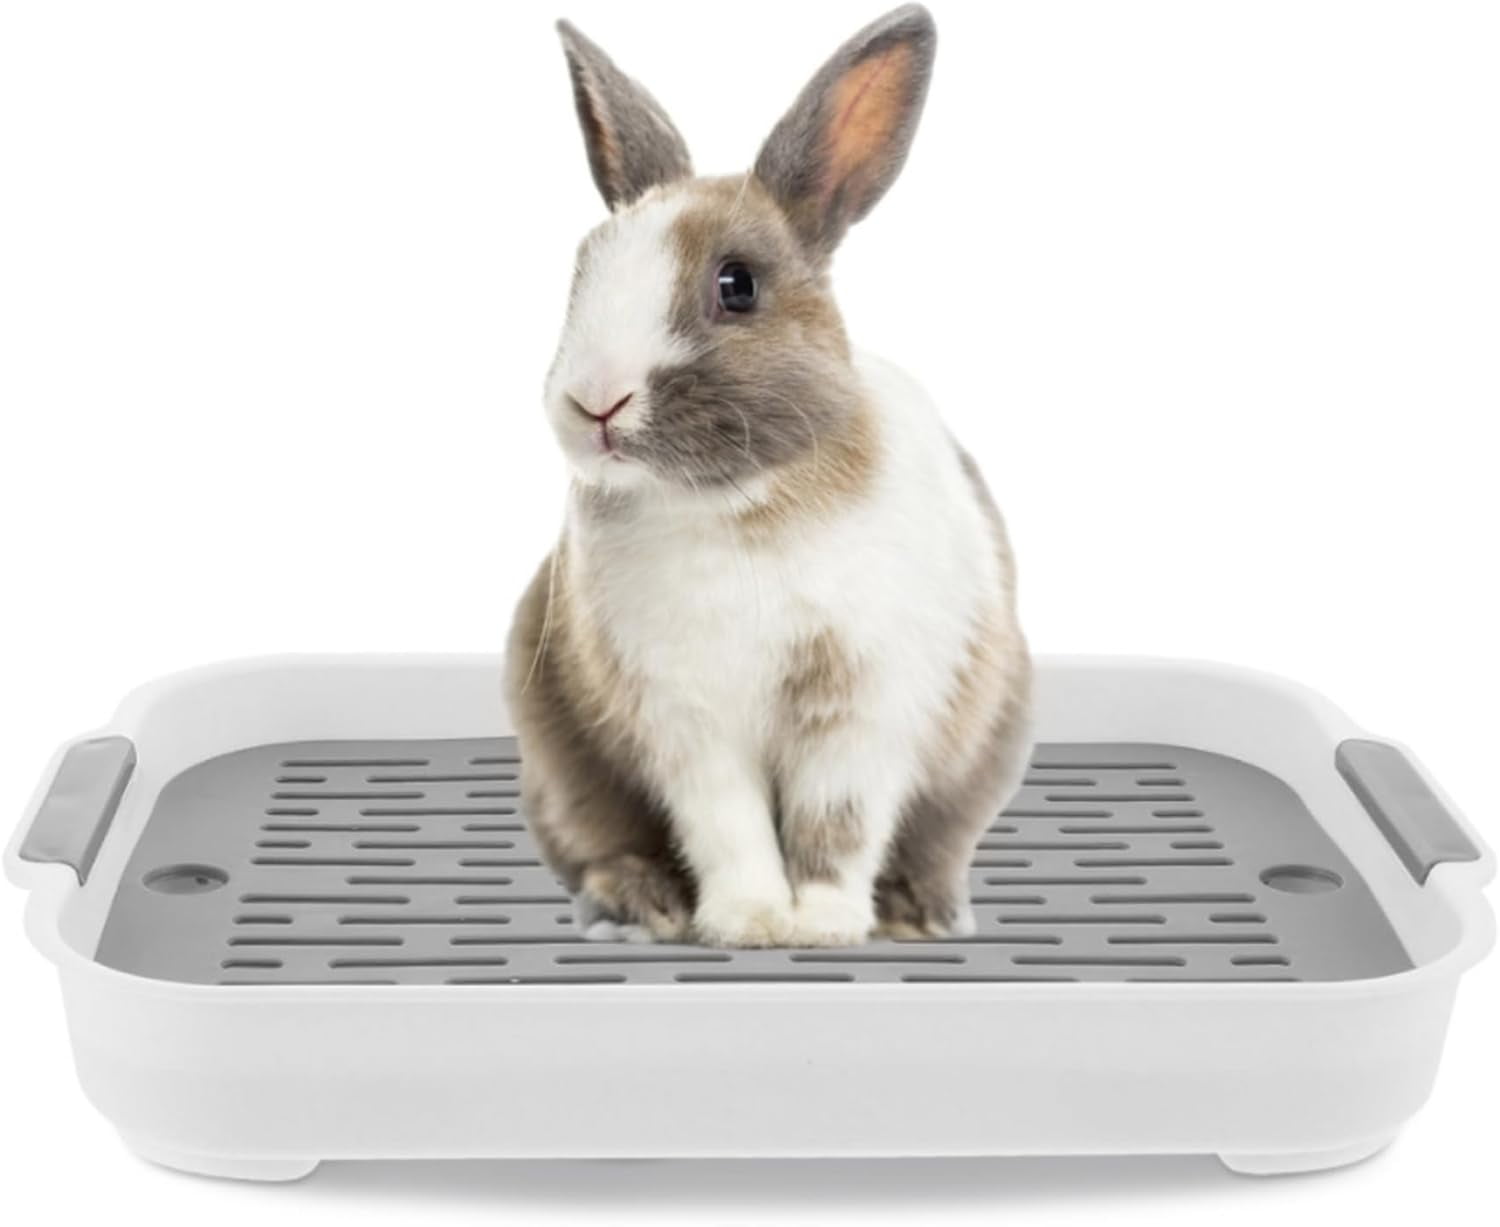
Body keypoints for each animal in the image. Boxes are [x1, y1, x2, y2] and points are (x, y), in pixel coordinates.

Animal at [506, 4, 1031, 948]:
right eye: (582, 271)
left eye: (737, 285)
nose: (594, 402)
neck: (738, 505)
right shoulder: (688, 722)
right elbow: (730, 824)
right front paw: (749, 921)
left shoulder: (861, 709)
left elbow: (837, 824)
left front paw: (821, 924)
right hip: (558, 765)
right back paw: (643, 902)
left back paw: (921, 912)